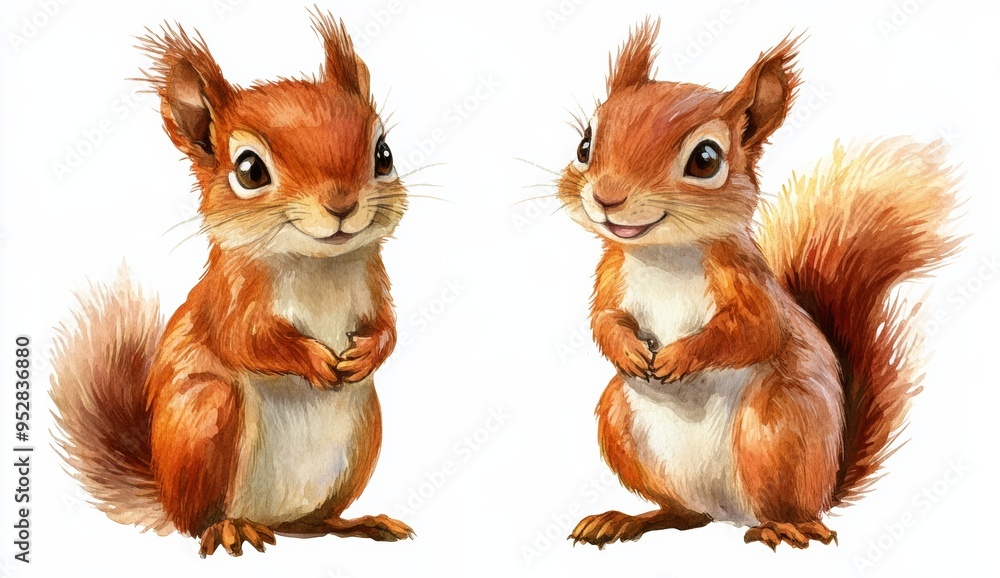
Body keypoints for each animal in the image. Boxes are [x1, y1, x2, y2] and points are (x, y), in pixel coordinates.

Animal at [49, 12, 413, 557]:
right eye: (249, 169)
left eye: (384, 154)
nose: (342, 205)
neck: (318, 266)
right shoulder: (228, 299)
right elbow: (244, 340)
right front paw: (312, 359)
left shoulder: (376, 287)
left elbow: (390, 328)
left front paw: (367, 352)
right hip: (209, 416)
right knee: (197, 521)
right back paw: (228, 528)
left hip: (365, 431)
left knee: (314, 522)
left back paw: (359, 523)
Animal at [558, 20, 961, 549]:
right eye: (584, 145)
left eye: (706, 159)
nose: (608, 198)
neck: (664, 254)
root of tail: (727, 510)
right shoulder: (612, 275)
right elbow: (603, 320)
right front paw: (626, 348)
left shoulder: (750, 285)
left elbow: (755, 332)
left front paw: (680, 357)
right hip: (618, 423)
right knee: (683, 513)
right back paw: (626, 519)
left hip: (774, 429)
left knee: (776, 506)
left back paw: (785, 526)